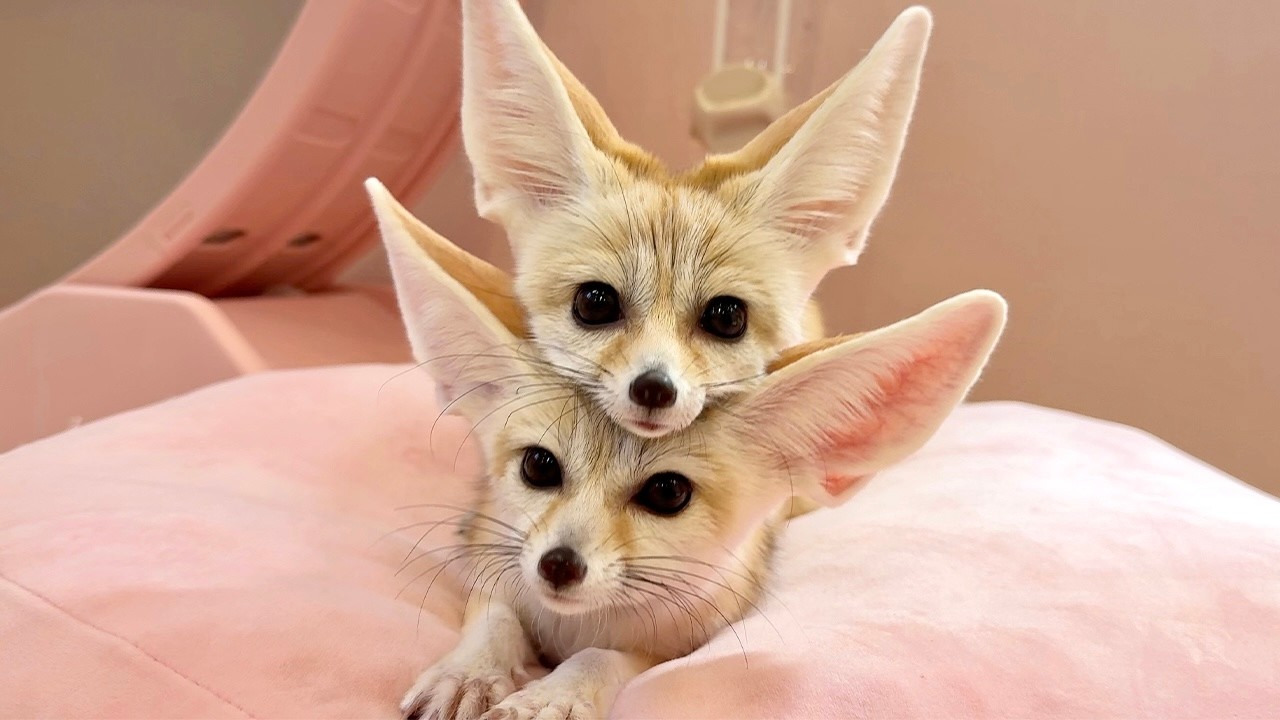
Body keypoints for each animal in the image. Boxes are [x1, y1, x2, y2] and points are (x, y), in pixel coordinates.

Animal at [370, 181, 1007, 720]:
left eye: (668, 493)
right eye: (538, 465)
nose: (558, 565)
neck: (572, 627)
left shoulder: (679, 644)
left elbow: (605, 659)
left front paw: (554, 693)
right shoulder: (491, 555)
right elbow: (496, 618)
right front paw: (470, 671)